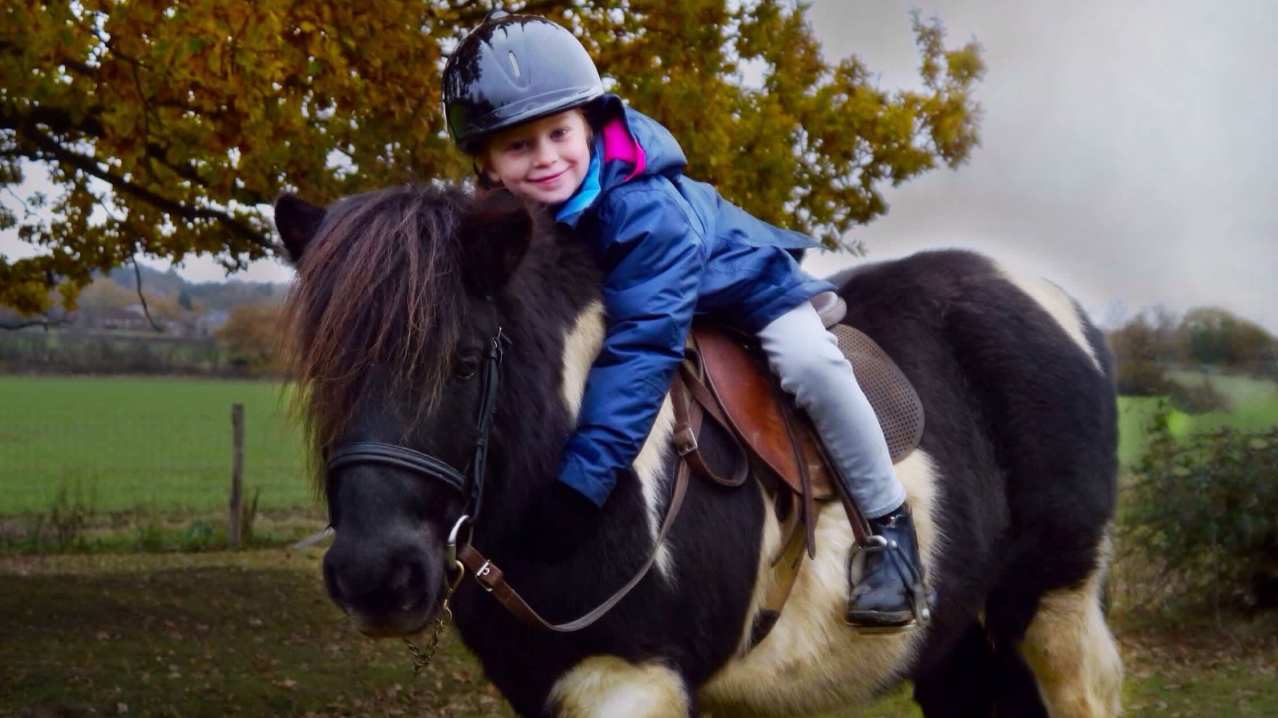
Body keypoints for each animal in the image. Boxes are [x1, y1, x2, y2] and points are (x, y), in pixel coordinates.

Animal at [274, 184, 1123, 717]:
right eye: (325, 369)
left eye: (465, 361)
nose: (375, 576)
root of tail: (1065, 311)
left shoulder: (630, 679)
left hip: (1054, 602)